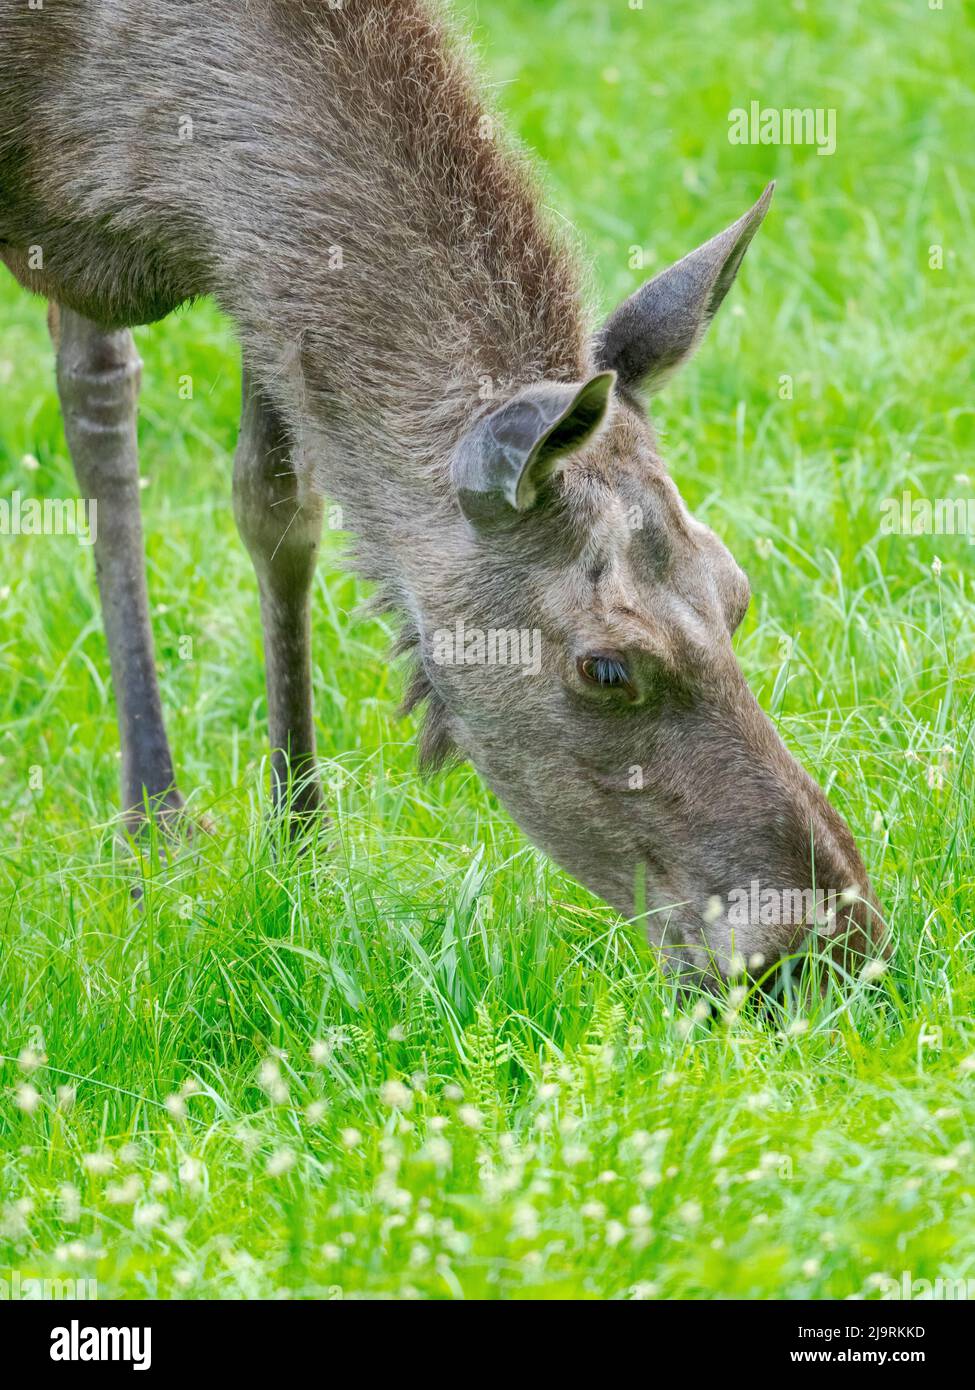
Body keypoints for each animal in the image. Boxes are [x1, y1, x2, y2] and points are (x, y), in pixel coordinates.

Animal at [0, 0, 885, 988]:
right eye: (605, 667)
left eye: (737, 593)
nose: (831, 943)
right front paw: (170, 831)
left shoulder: (249, 280)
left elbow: (278, 506)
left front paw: (299, 842)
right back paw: (151, 818)